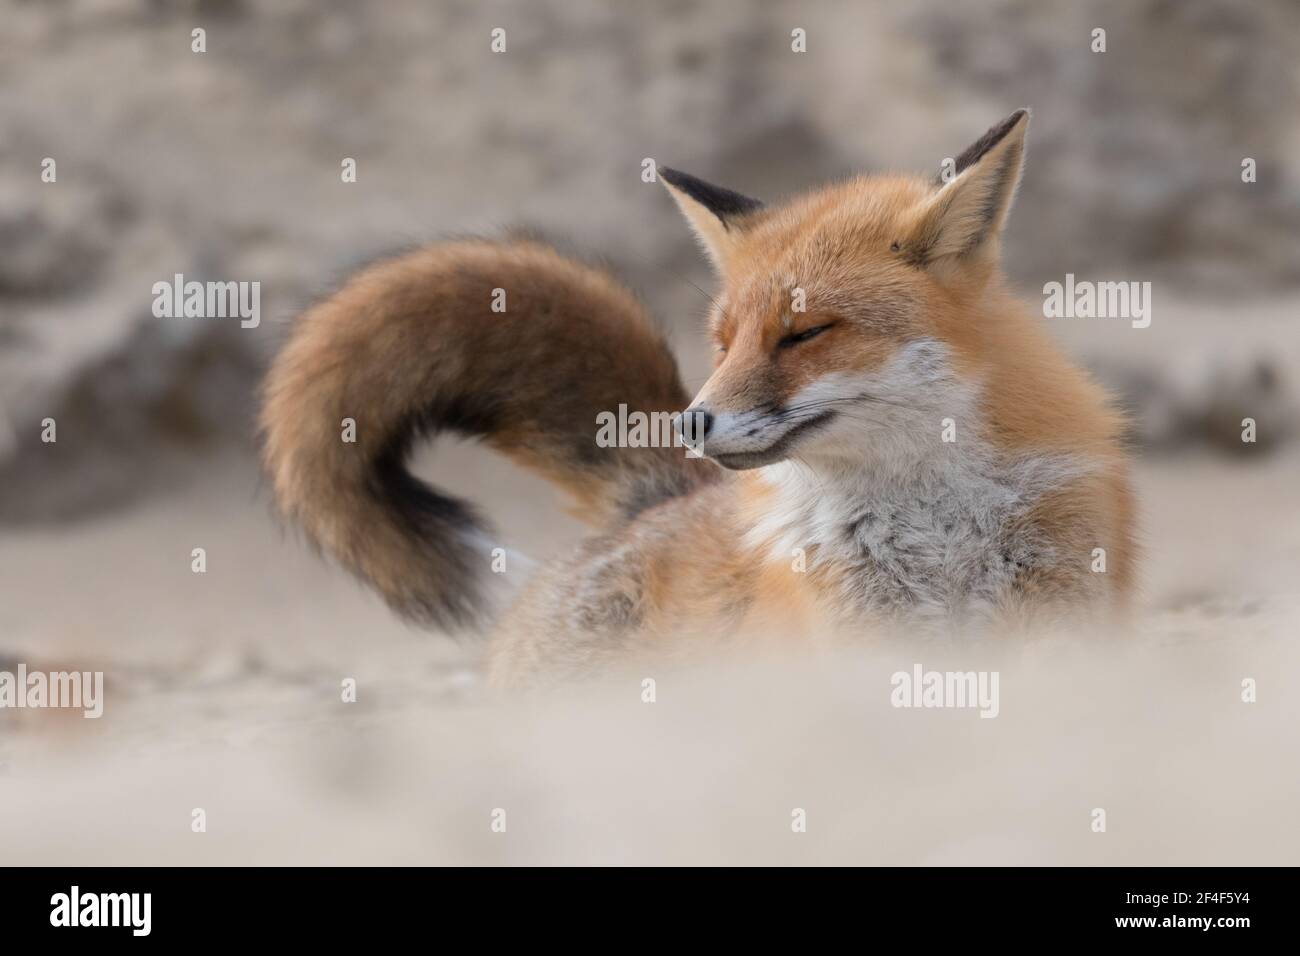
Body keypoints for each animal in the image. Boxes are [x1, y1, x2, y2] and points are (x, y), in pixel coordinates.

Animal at [261, 109, 1136, 687]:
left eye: (803, 333)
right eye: (724, 342)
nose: (689, 421)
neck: (934, 525)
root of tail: (650, 499)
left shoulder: (1057, 609)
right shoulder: (864, 641)